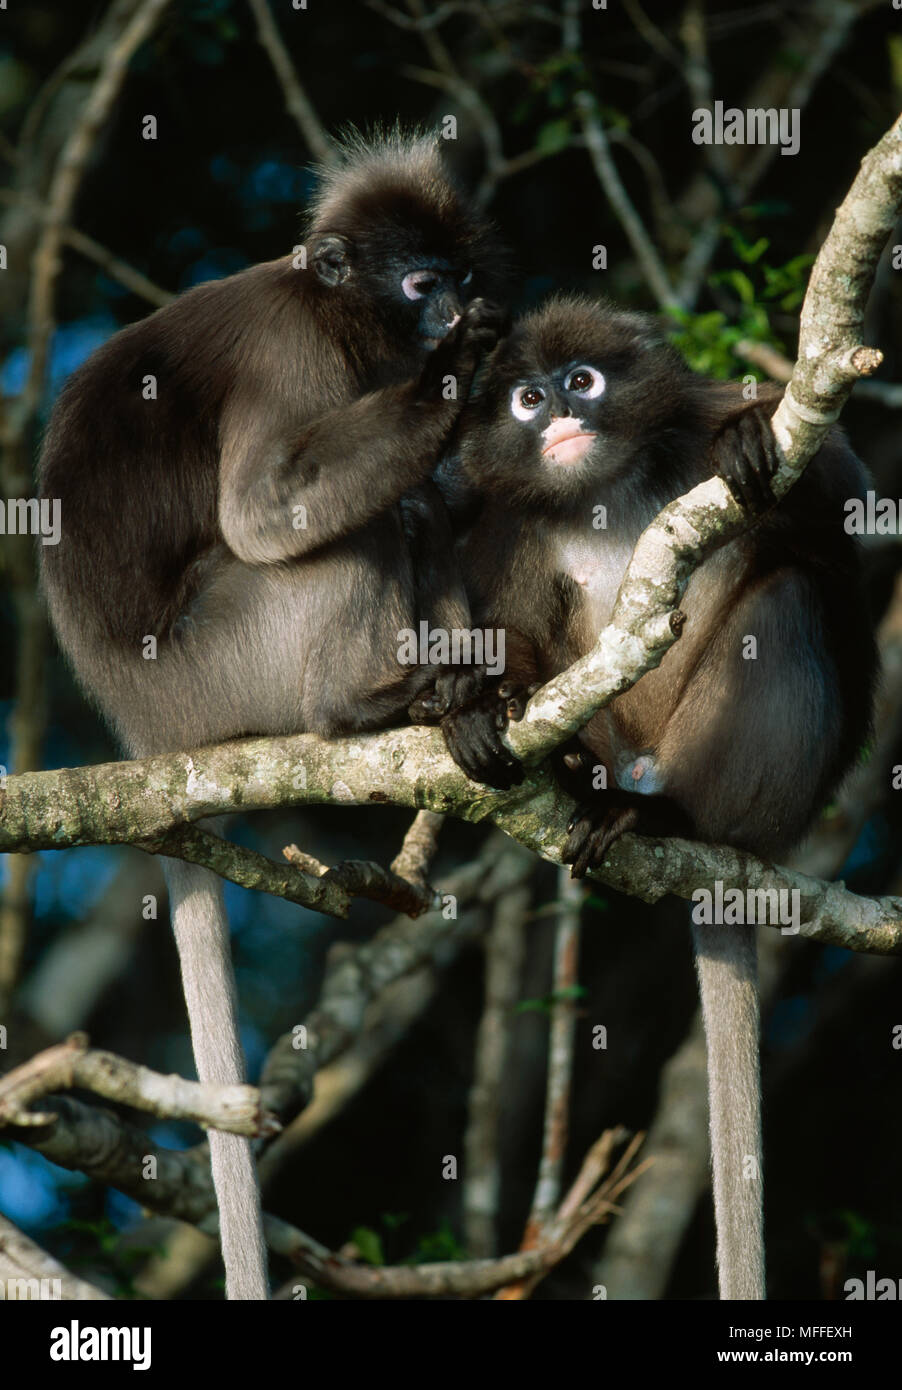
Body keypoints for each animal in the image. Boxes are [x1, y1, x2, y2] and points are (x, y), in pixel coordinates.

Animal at [36, 131, 519, 1300]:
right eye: (421, 285)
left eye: (455, 275)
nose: (449, 314)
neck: (333, 306)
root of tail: (142, 733)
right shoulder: (290, 353)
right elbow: (262, 510)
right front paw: (459, 373)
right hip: (226, 662)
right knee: (350, 523)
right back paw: (360, 702)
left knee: (408, 507)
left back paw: (452, 699)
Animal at [439, 293, 878, 1299]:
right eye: (526, 398)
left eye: (583, 380)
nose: (560, 413)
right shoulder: (505, 525)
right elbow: (505, 632)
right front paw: (478, 709)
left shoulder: (712, 414)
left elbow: (849, 531)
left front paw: (749, 440)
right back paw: (578, 781)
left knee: (792, 595)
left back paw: (663, 817)